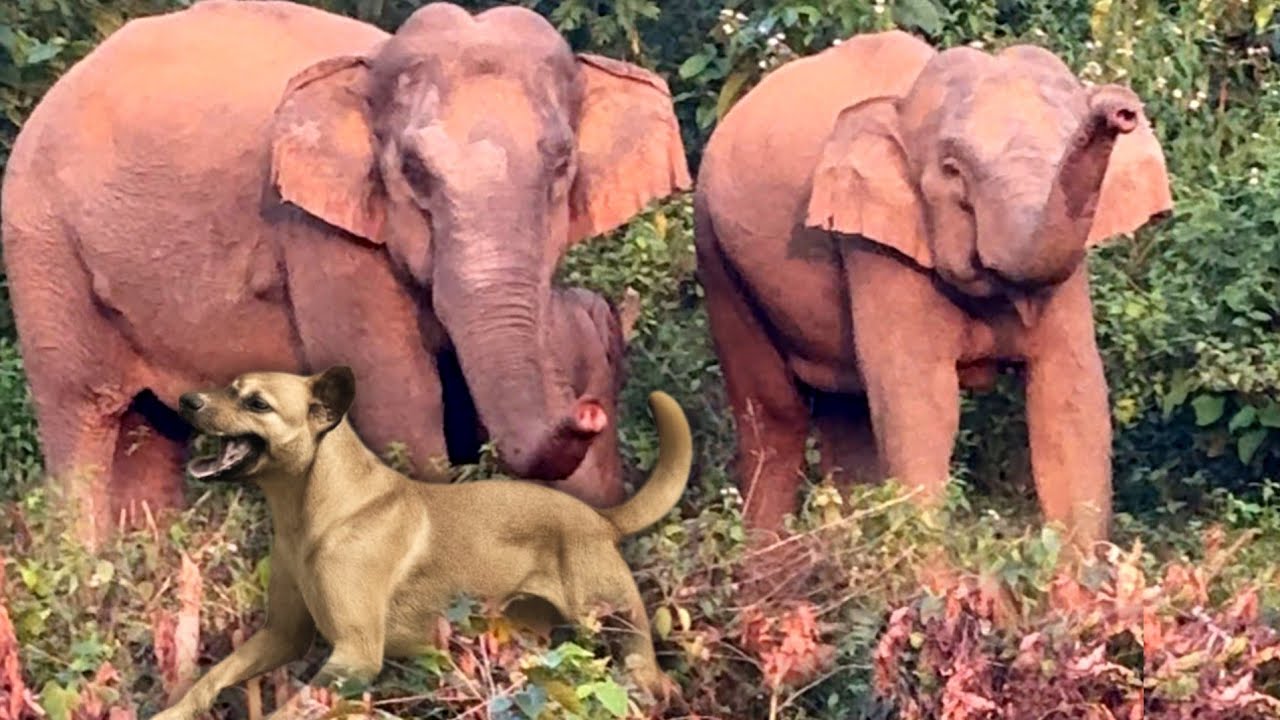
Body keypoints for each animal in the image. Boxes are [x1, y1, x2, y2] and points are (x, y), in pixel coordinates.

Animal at [0, 0, 690, 543]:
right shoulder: (321, 234)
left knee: (151, 434)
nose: (590, 411)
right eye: (413, 171)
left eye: (561, 164)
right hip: (41, 252)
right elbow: (398, 398)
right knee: (82, 419)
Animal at [694, 30, 1172, 547]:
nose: (1120, 107)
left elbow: (1070, 395)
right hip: (717, 255)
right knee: (774, 418)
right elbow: (921, 404)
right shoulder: (874, 245)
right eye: (952, 169)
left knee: (847, 417)